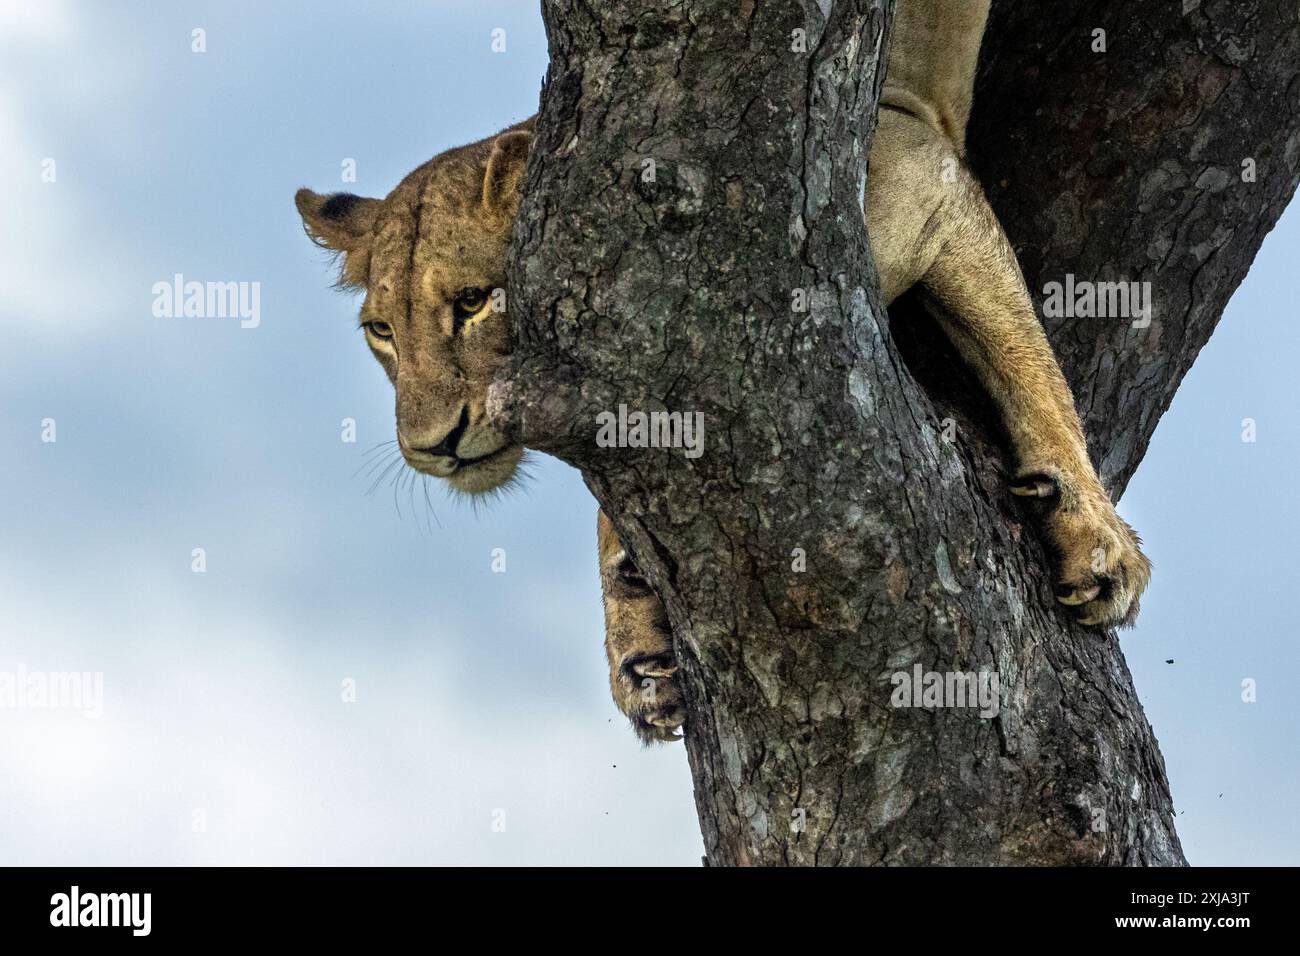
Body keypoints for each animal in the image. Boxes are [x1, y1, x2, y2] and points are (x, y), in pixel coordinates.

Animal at [295, 0, 1150, 744]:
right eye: (381, 331)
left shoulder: (915, 163)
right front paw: (639, 647)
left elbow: (1025, 354)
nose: (430, 445)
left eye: (473, 302)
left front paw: (1100, 545)